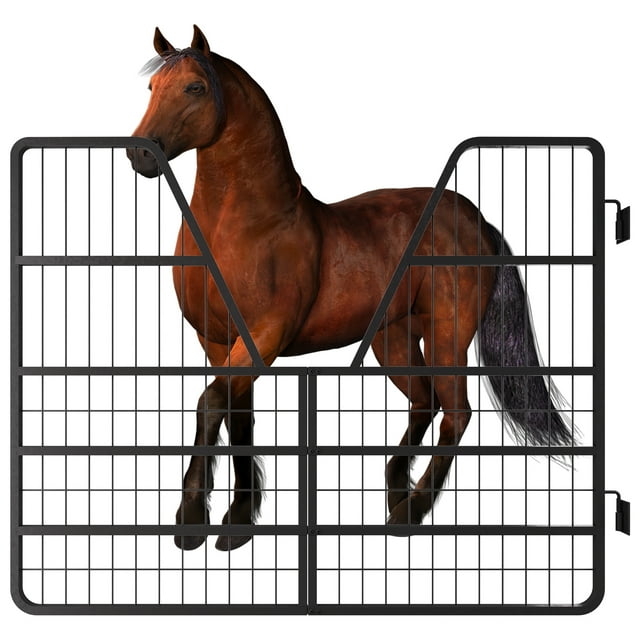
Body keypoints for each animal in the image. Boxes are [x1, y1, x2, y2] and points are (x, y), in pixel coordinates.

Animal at [127, 25, 573, 551]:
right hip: (393, 338)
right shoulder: (217, 341)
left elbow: (210, 404)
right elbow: (236, 417)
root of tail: (477, 221)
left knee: (456, 413)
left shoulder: (264, 335)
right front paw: (238, 519)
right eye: (152, 88)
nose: (140, 153)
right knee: (424, 402)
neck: (244, 226)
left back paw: (410, 512)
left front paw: (193, 521)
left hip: (448, 335)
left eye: (194, 87)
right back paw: (396, 493)